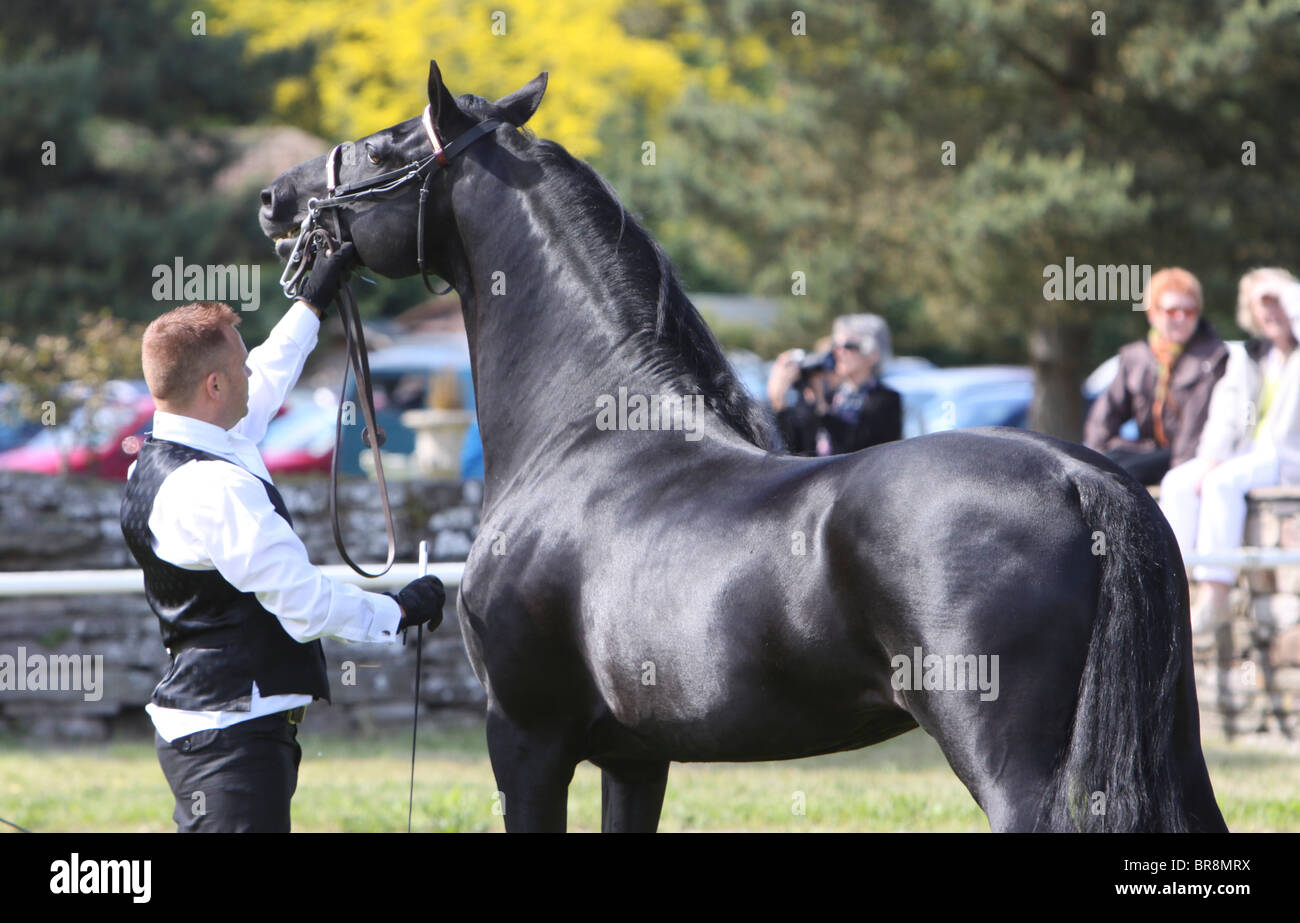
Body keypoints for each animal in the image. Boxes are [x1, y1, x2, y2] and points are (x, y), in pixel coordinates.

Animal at [259, 61, 1227, 832]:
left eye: (384, 148)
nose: (277, 198)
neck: (579, 439)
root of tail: (1077, 480)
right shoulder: (634, 756)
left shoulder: (527, 740)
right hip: (1169, 753)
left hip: (1018, 772)